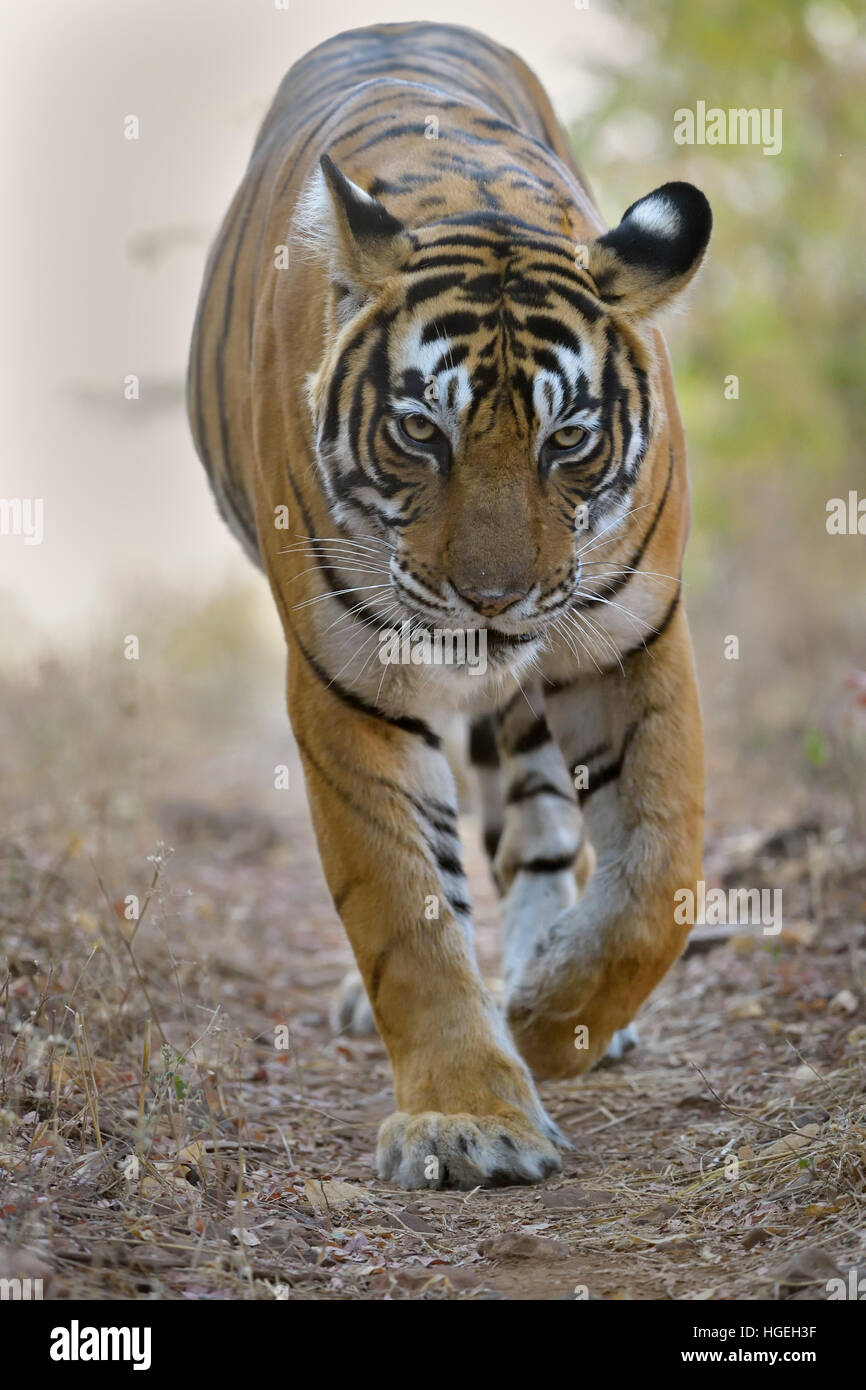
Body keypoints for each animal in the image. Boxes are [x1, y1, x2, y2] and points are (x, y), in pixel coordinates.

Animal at [187, 21, 710, 1190]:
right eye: (421, 431)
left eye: (570, 438)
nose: (492, 598)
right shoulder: (354, 678)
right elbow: (406, 912)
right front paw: (468, 1119)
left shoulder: (629, 637)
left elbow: (656, 879)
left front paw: (552, 1021)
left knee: (542, 831)